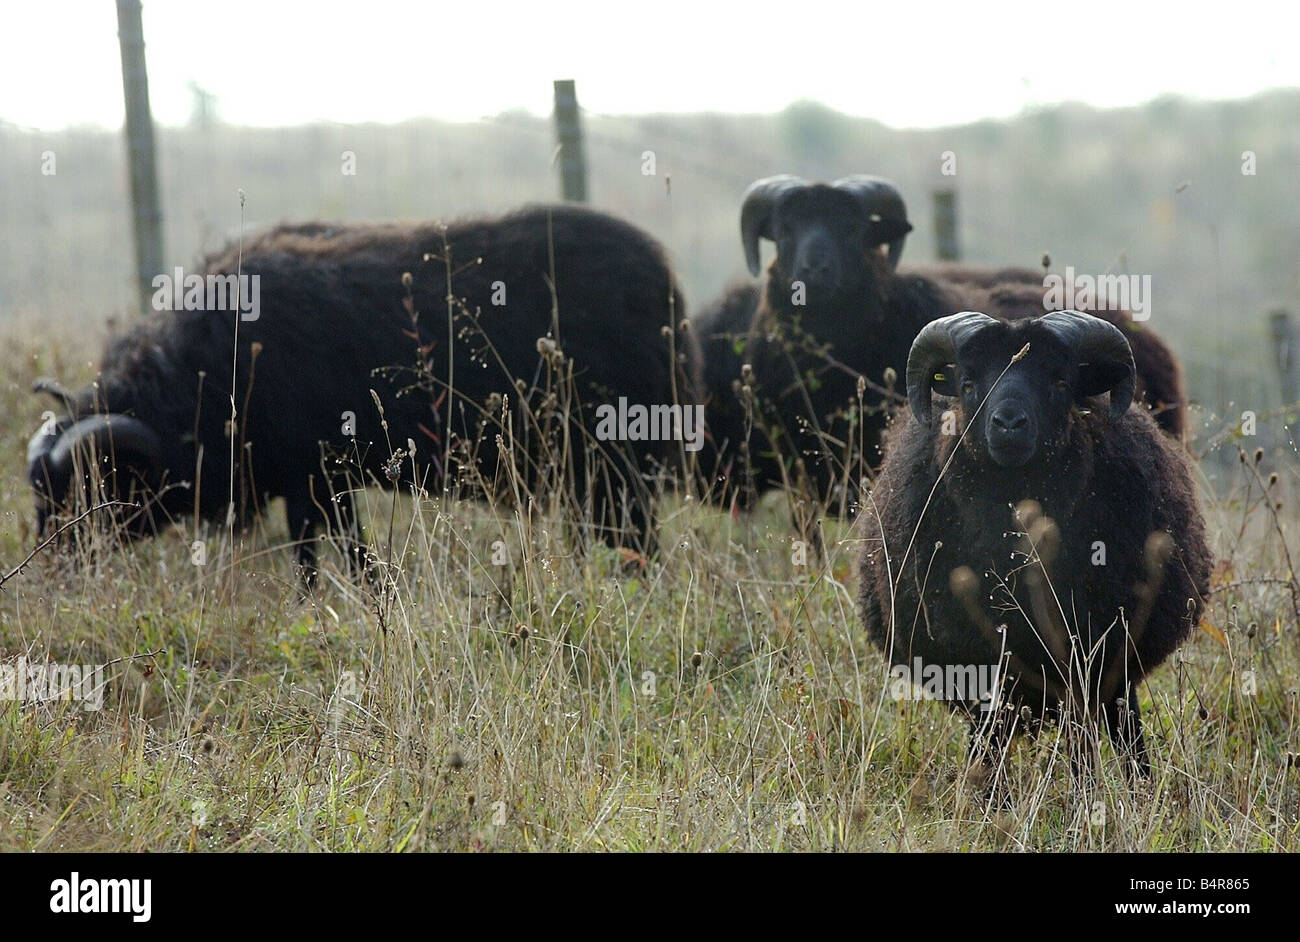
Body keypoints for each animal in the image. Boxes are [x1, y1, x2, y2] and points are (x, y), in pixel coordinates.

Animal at [27, 204, 697, 581]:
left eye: (98, 482)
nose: (49, 571)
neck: (203, 375)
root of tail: (666, 285)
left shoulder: (315, 480)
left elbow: (327, 561)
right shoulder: (320, 483)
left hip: (616, 474)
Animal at [856, 310, 1211, 785]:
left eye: (1060, 381)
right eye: (968, 381)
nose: (1008, 424)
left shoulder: (1086, 655)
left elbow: (1086, 744)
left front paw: (1087, 795)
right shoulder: (984, 665)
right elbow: (987, 748)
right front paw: (989, 799)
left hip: (1112, 674)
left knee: (1122, 735)